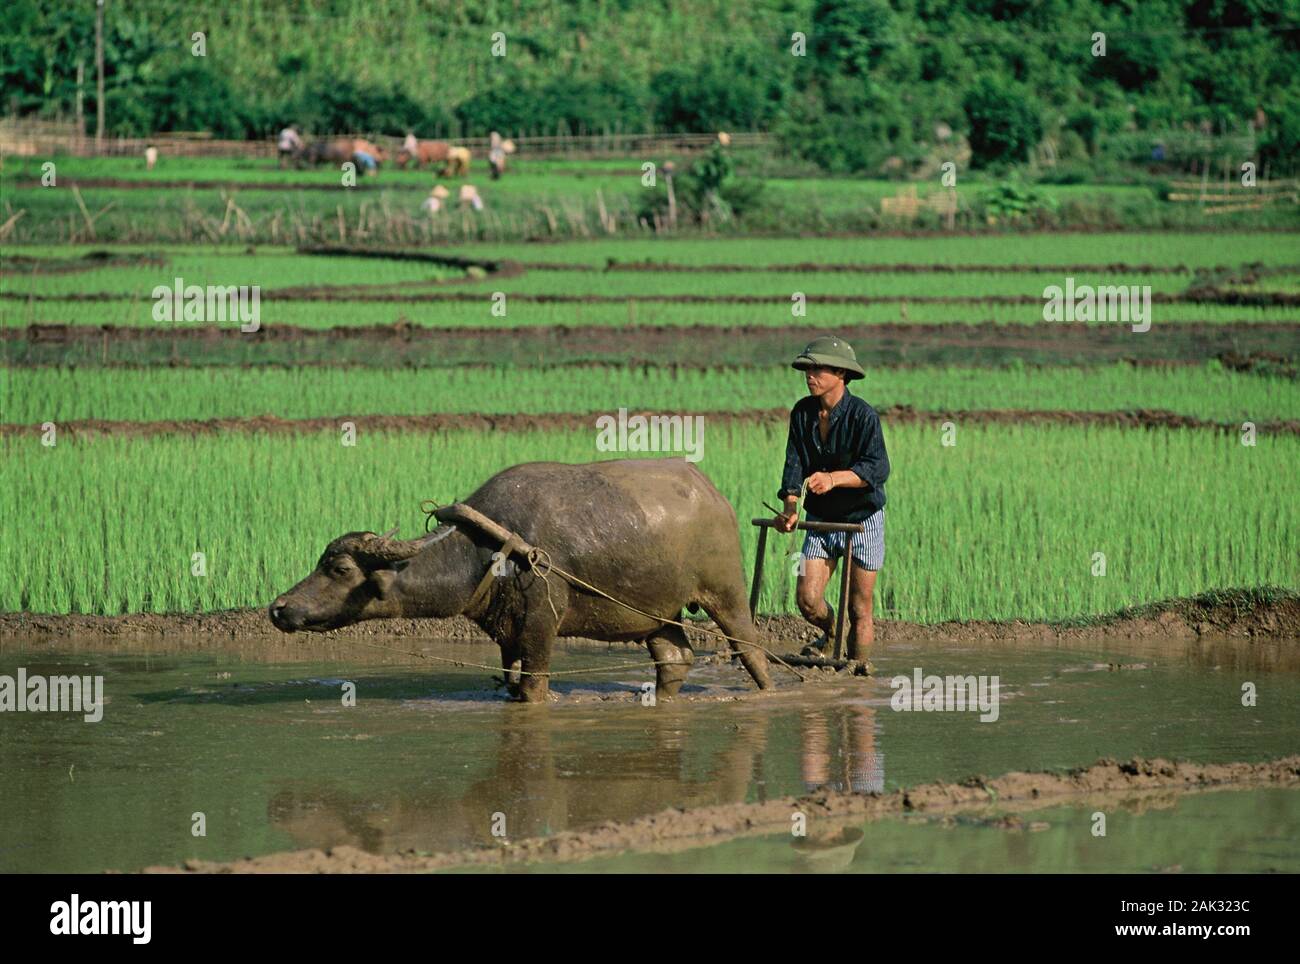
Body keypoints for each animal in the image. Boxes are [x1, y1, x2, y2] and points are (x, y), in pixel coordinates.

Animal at [269, 459, 774, 702]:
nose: (277, 608)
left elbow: (534, 687)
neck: (491, 554)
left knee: (752, 652)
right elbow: (512, 683)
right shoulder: (507, 633)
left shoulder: (539, 628)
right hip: (657, 613)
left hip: (726, 592)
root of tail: (712, 493)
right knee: (675, 659)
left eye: (339, 569)